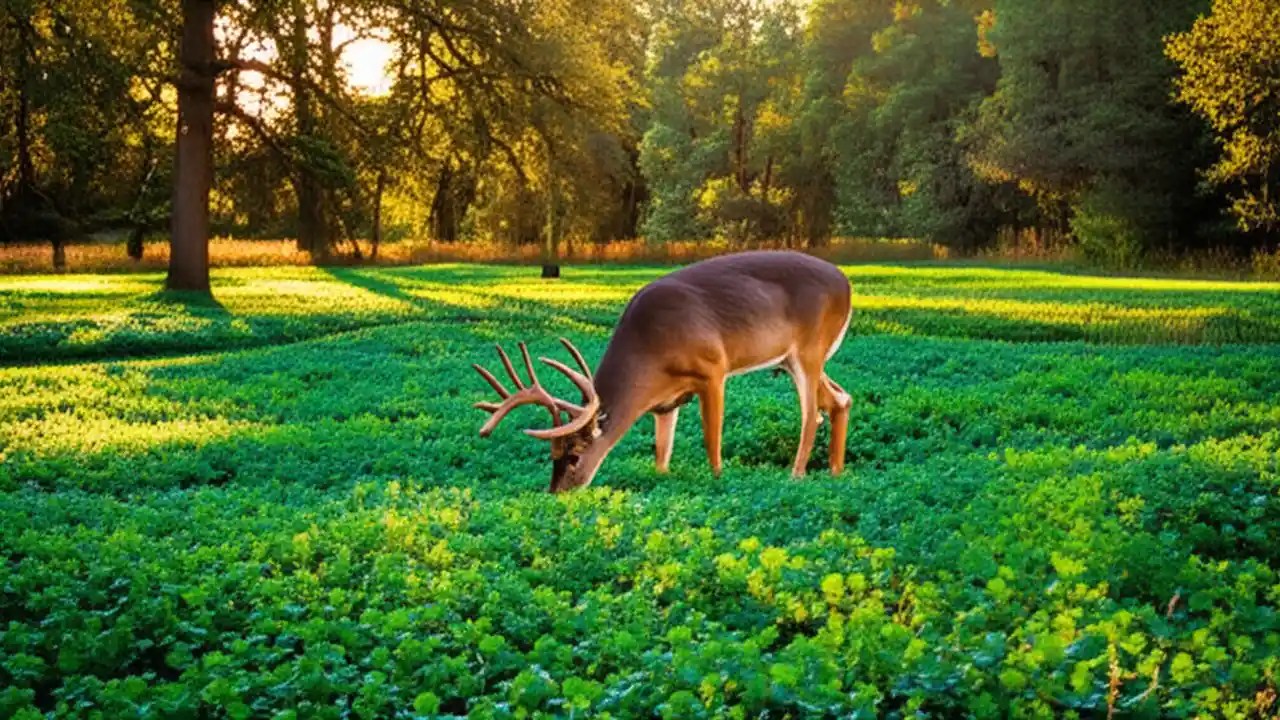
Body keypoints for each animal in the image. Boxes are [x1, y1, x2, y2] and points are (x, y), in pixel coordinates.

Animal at [472, 250, 854, 493]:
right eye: (551, 456)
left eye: (575, 456)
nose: (556, 493)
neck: (649, 351)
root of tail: (846, 284)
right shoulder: (666, 403)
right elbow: (661, 452)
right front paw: (662, 478)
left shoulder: (713, 369)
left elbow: (711, 440)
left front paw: (717, 480)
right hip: (791, 360)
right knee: (840, 399)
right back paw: (836, 472)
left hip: (809, 349)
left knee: (811, 414)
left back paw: (796, 476)